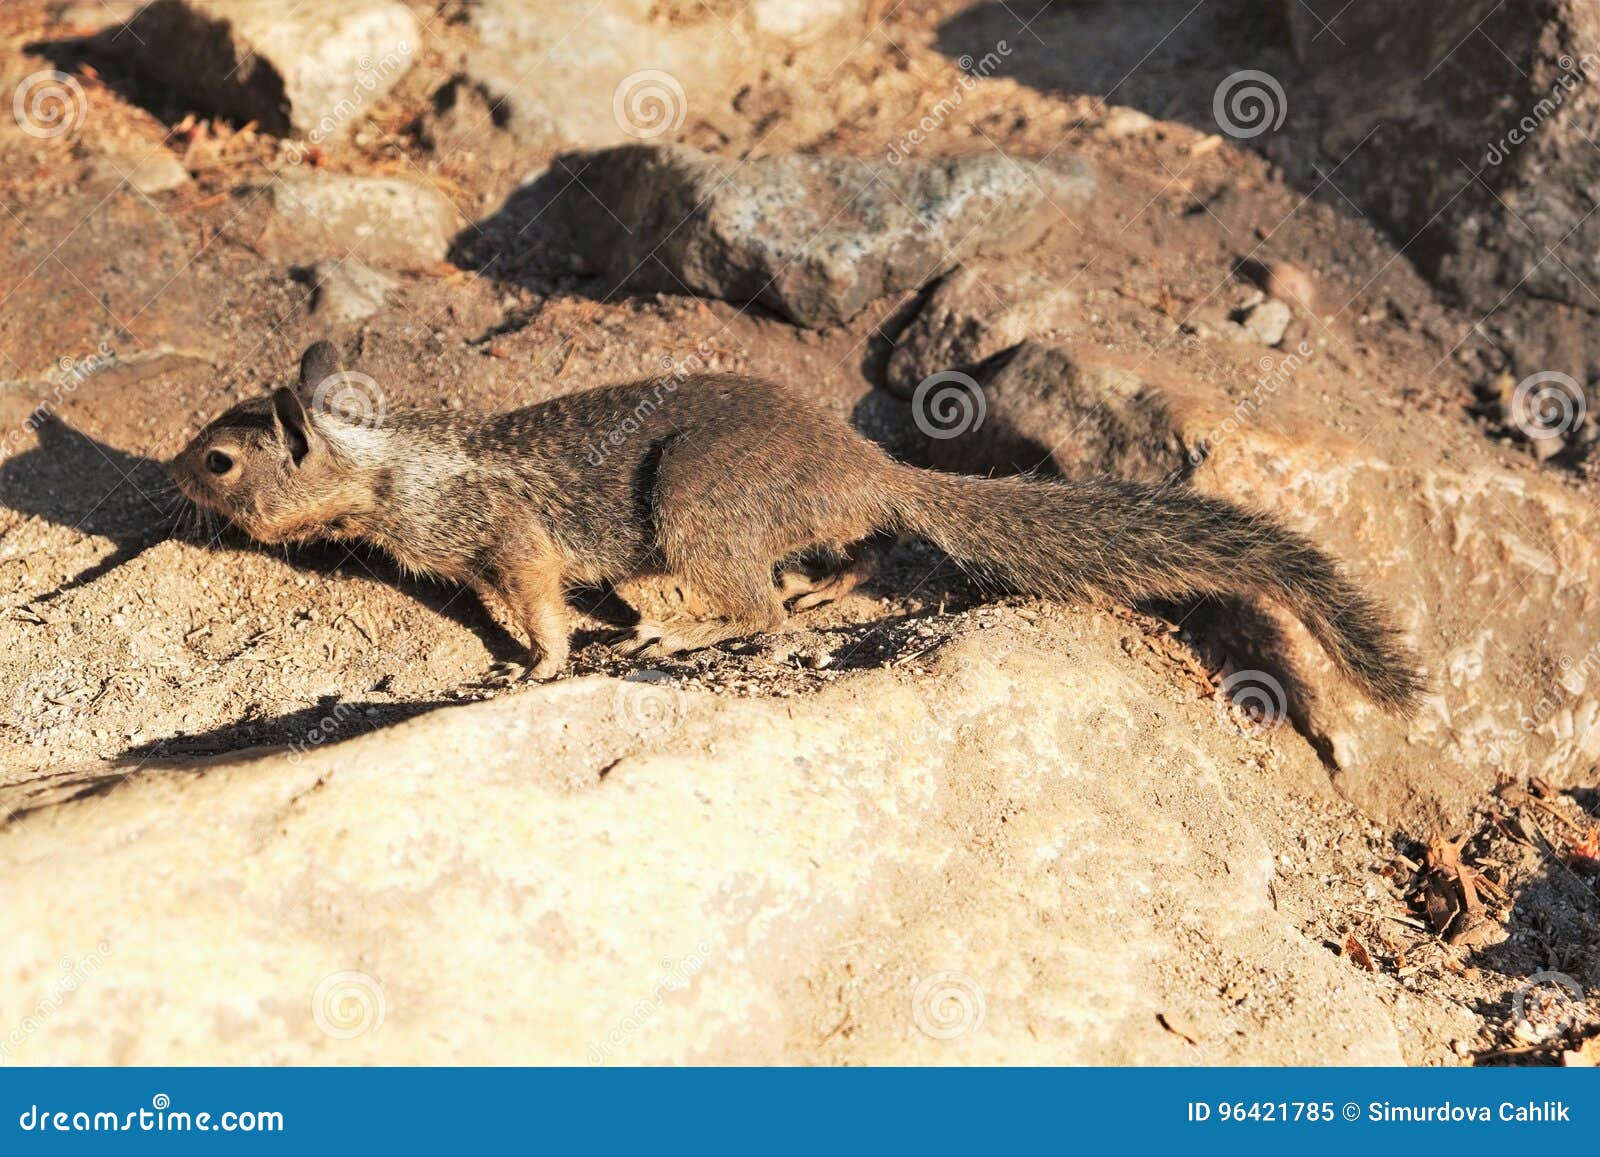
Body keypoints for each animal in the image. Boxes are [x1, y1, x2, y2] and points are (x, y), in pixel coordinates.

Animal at [168, 341, 1422, 710]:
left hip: (696, 510)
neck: (388, 464)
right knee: (858, 544)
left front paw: (539, 664)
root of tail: (861, 457)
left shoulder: (497, 530)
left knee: (755, 607)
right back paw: (812, 584)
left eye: (219, 458)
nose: (172, 476)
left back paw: (680, 628)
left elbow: (535, 599)